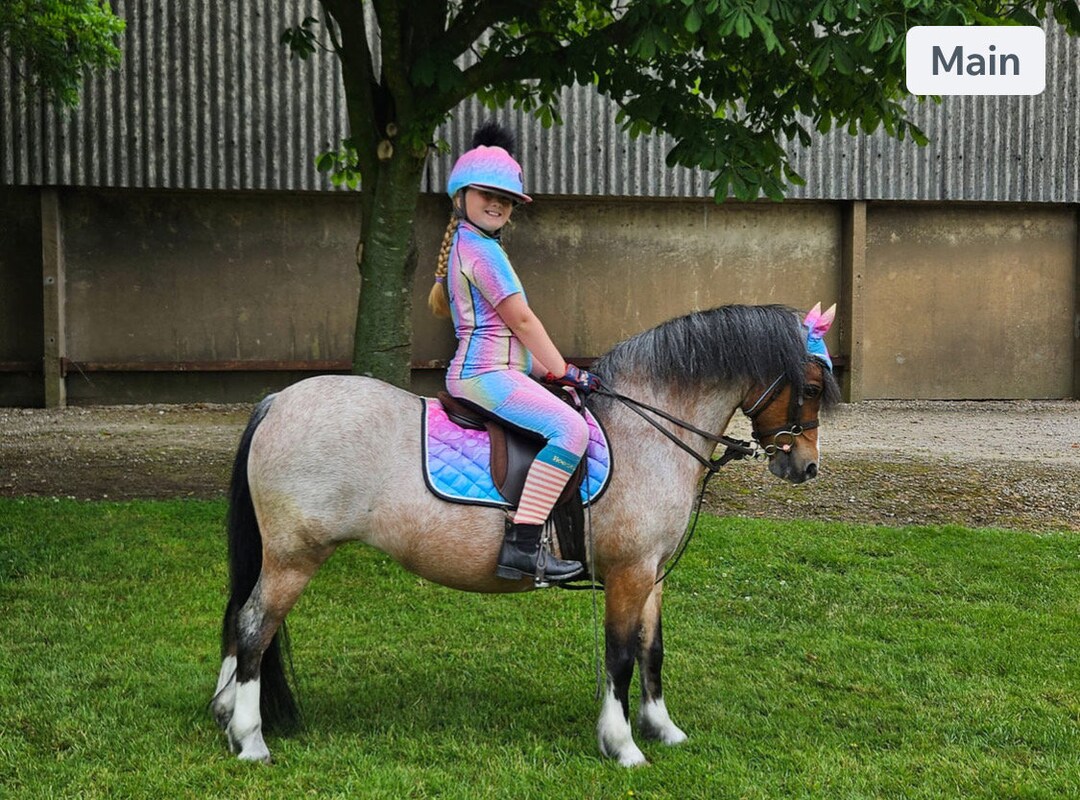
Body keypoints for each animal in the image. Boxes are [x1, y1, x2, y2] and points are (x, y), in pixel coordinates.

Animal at [210, 303, 841, 766]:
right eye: (811, 387)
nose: (806, 466)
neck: (645, 428)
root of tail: (277, 401)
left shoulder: (652, 571)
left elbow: (652, 649)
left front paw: (663, 728)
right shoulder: (629, 572)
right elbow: (618, 655)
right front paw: (623, 745)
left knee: (243, 620)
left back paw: (225, 716)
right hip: (295, 556)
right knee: (255, 626)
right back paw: (251, 739)